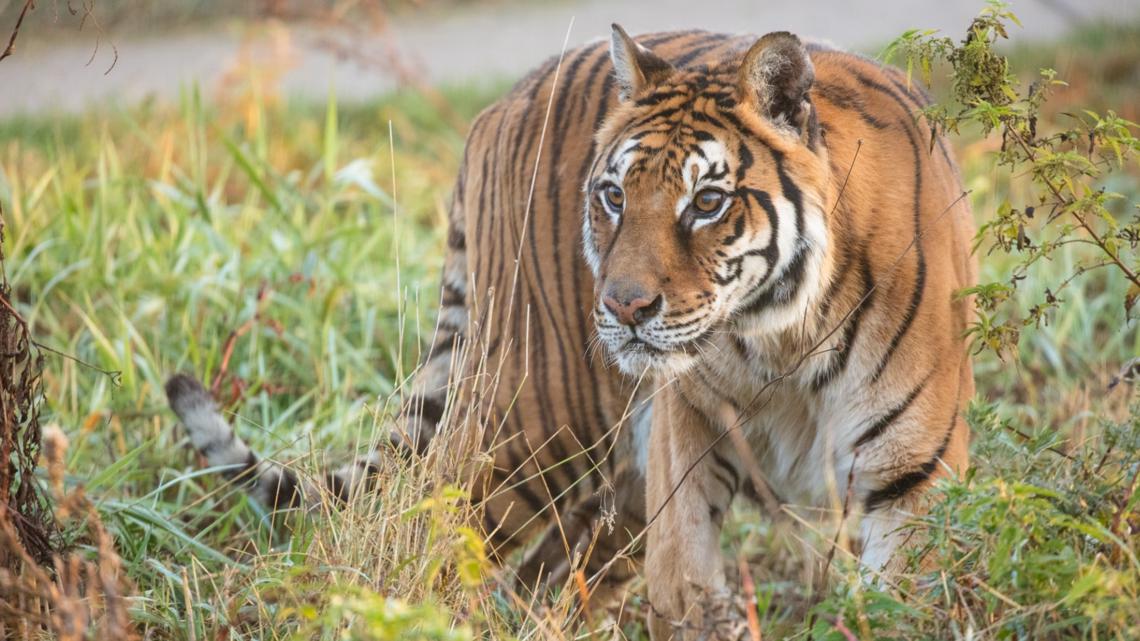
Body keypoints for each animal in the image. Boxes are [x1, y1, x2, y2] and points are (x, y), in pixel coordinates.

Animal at [164, 23, 976, 637]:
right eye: (614, 195)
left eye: (707, 202)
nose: (624, 308)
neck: (779, 335)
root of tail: (500, 103)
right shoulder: (684, 454)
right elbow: (691, 593)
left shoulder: (910, 481)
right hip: (530, 421)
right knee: (426, 532)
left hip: (602, 482)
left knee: (537, 579)